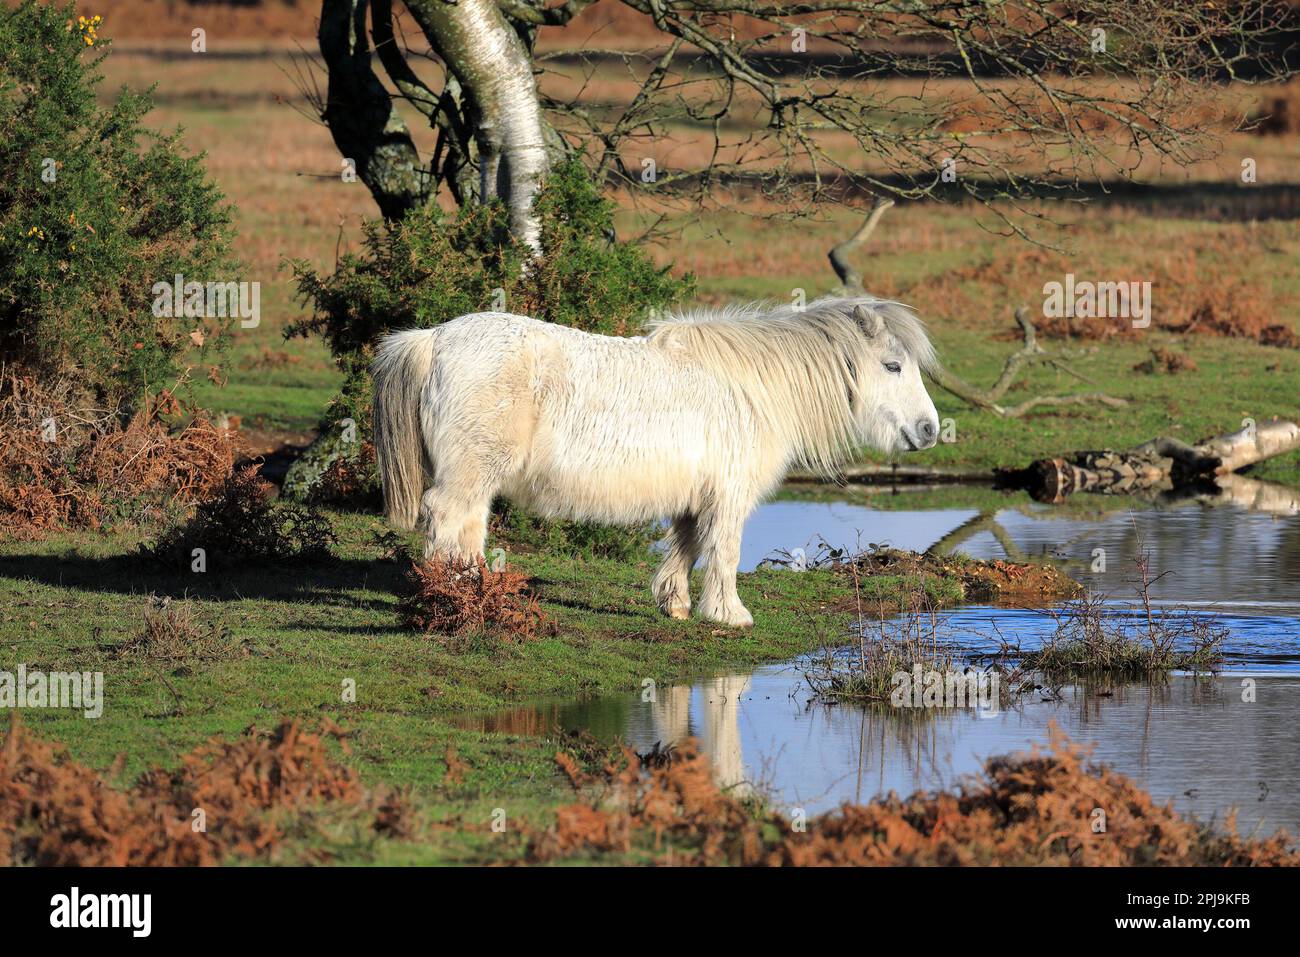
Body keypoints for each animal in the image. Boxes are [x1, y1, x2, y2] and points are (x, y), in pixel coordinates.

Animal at [372, 295, 940, 628]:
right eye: (893, 365)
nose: (930, 430)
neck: (750, 386)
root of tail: (434, 338)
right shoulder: (727, 496)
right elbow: (724, 552)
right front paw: (730, 614)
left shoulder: (694, 496)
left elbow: (686, 547)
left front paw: (677, 604)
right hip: (471, 473)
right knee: (449, 520)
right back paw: (455, 598)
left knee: (466, 526)